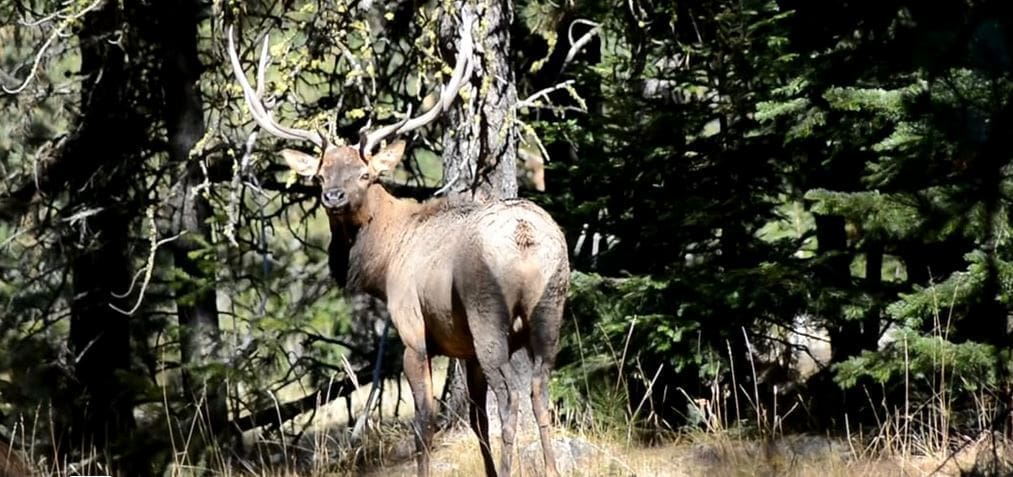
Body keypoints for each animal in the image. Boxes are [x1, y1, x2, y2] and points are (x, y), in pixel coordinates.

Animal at [229, 12, 569, 477]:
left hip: (487, 312)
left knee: (510, 397)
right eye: (320, 175)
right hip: (550, 308)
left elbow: (425, 417)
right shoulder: (462, 347)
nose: (333, 196)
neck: (384, 262)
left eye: (365, 174)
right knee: (540, 391)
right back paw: (551, 466)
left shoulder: (412, 327)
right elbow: (475, 419)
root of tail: (526, 239)